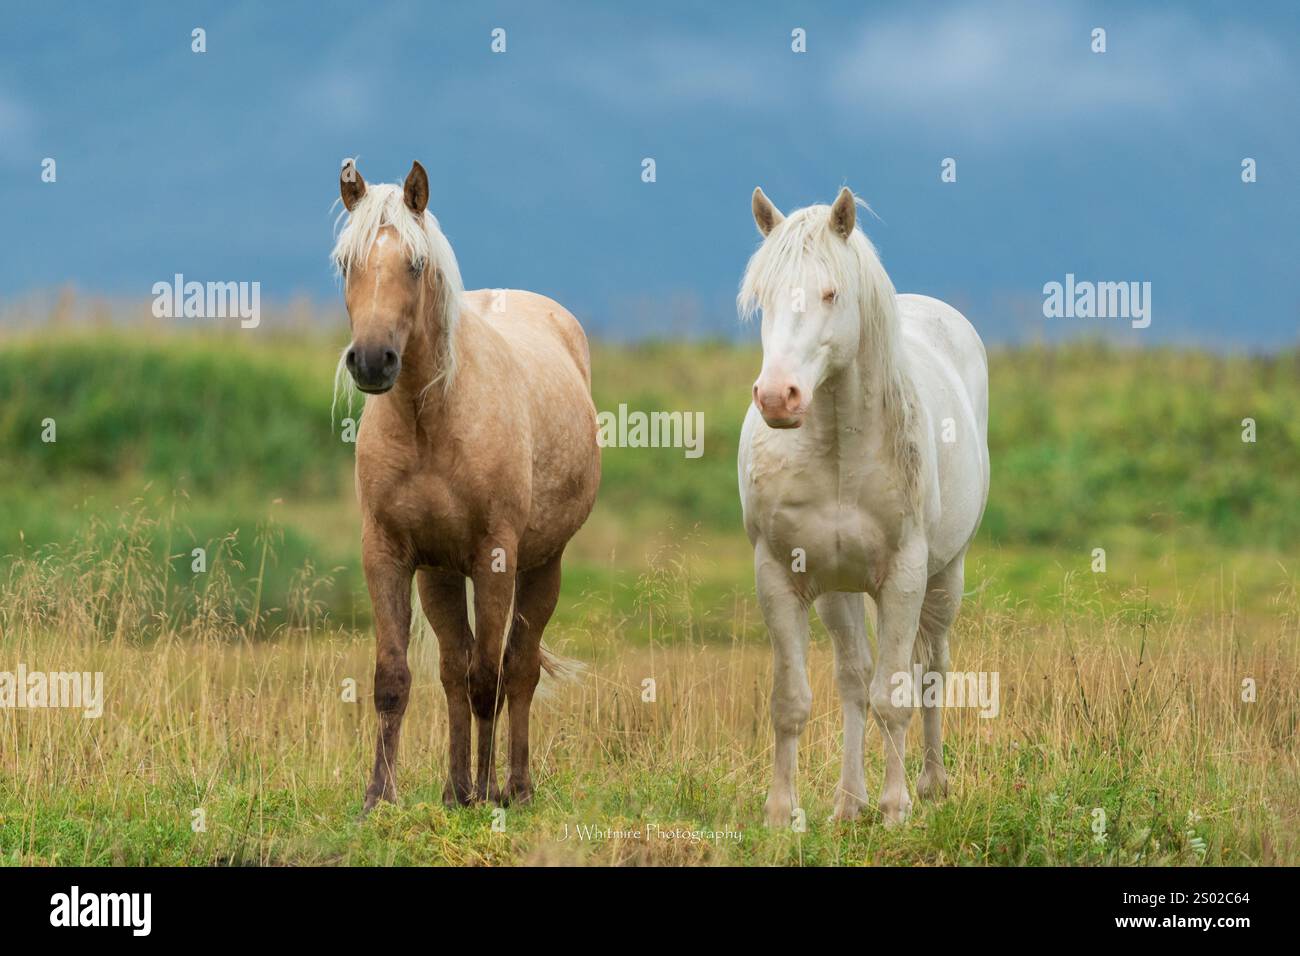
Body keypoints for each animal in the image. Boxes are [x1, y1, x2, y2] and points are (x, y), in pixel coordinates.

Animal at [332, 159, 600, 811]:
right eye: (346, 264)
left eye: (415, 263)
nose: (372, 361)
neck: (429, 422)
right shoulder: (390, 555)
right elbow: (395, 678)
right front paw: (379, 798)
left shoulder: (495, 557)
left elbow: (490, 679)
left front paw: (487, 792)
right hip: (441, 574)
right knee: (455, 669)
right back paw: (454, 789)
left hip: (542, 564)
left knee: (517, 670)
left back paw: (513, 788)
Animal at [737, 187, 989, 825]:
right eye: (763, 298)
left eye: (831, 293)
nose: (777, 397)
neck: (836, 452)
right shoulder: (780, 576)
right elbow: (793, 700)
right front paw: (782, 814)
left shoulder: (904, 577)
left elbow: (895, 696)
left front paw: (896, 809)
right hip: (839, 589)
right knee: (853, 679)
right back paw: (848, 803)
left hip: (944, 578)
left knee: (931, 670)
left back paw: (930, 785)